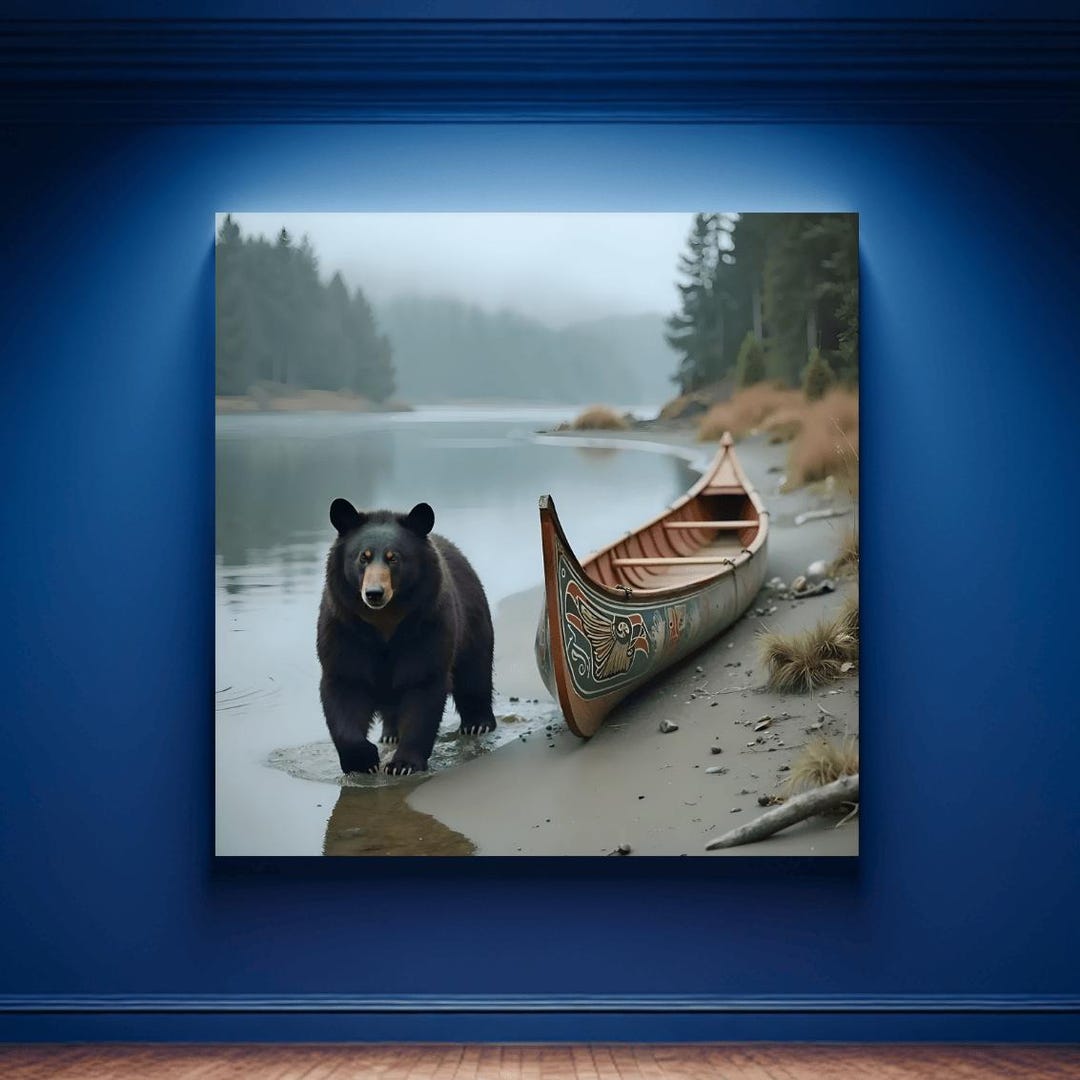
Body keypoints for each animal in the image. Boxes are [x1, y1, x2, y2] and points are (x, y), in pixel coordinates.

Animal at [317, 498, 497, 776]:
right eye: (363, 557)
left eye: (394, 558)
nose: (374, 593)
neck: (384, 620)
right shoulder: (343, 629)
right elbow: (343, 686)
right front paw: (363, 760)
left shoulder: (428, 627)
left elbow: (422, 686)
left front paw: (403, 764)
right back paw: (390, 734)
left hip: (472, 621)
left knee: (474, 672)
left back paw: (478, 723)